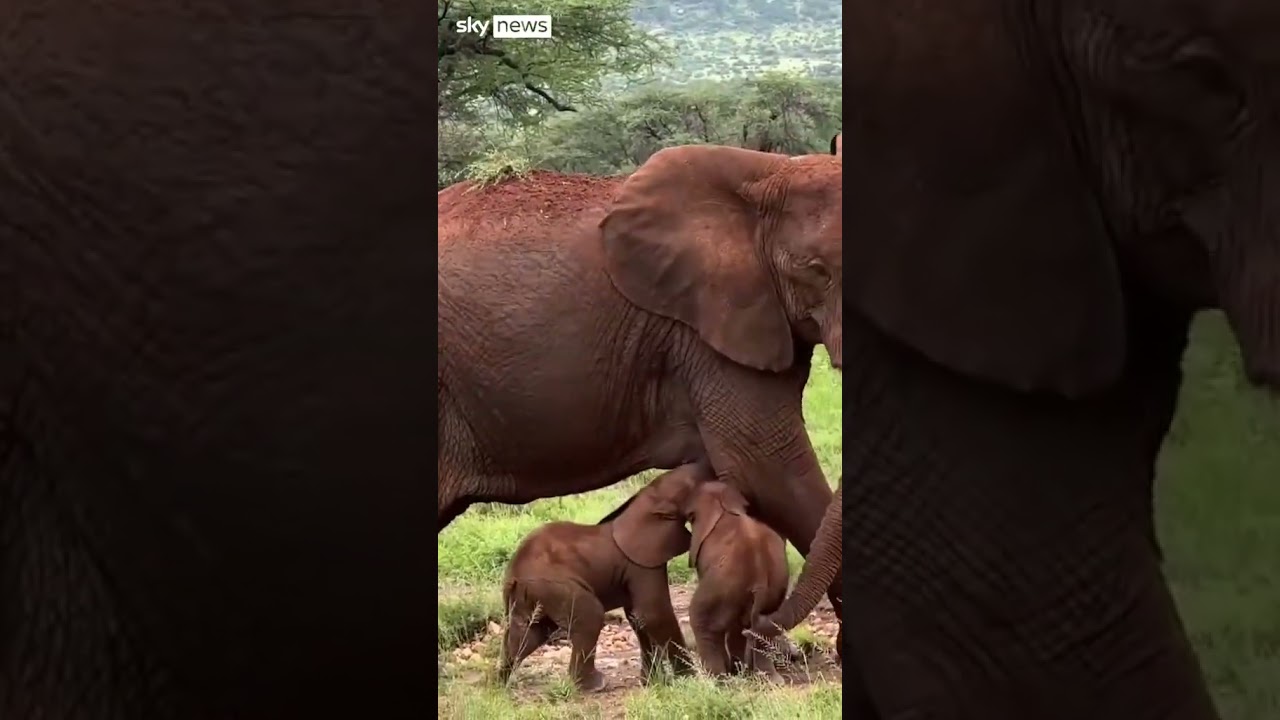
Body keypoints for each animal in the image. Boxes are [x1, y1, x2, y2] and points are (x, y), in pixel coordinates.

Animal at [497, 465, 703, 691]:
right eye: (692, 486)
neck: (645, 499)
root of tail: (513, 575)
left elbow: (637, 617)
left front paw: (653, 682)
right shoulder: (641, 564)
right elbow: (654, 613)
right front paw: (690, 679)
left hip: (530, 595)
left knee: (528, 633)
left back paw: (500, 682)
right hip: (553, 586)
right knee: (590, 616)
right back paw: (596, 684)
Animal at [685, 481, 791, 681]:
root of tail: (759, 577)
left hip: (722, 586)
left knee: (704, 622)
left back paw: (717, 679)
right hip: (773, 587)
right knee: (763, 625)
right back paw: (768, 679)